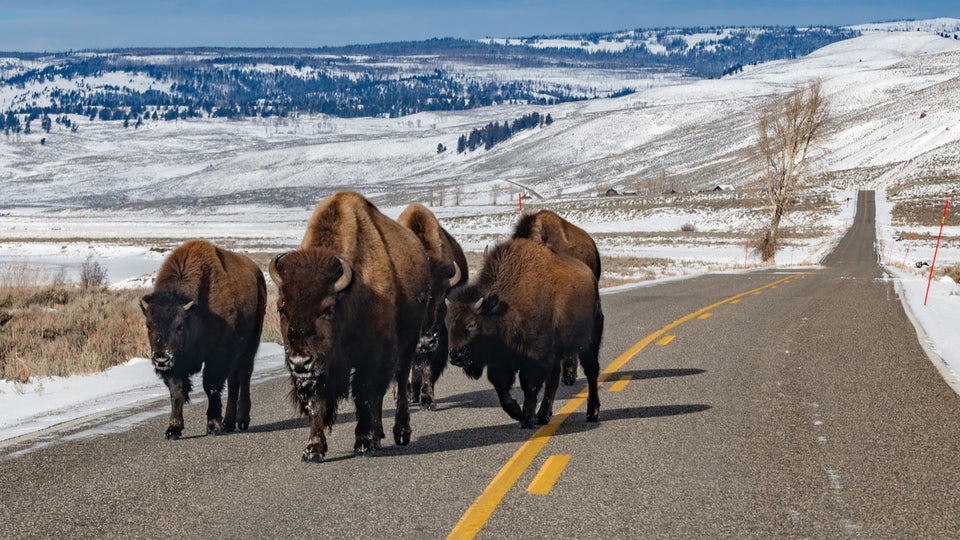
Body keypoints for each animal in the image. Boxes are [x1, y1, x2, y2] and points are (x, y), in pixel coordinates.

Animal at [140, 239, 267, 440]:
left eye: (179, 326)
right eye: (149, 326)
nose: (161, 358)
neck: (196, 312)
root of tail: (257, 272)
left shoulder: (217, 355)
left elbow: (212, 387)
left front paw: (213, 426)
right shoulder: (178, 365)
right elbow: (177, 392)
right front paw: (173, 429)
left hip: (250, 345)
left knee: (244, 376)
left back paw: (241, 420)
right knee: (233, 381)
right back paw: (228, 423)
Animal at [270, 191, 431, 462]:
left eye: (328, 309)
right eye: (282, 309)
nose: (301, 363)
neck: (351, 292)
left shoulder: (372, 354)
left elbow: (365, 394)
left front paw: (363, 443)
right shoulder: (320, 370)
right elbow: (317, 403)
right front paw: (312, 449)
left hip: (408, 342)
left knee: (399, 382)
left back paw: (400, 432)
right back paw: (379, 435)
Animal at [445, 238, 603, 428]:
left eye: (471, 324)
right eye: (447, 323)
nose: (455, 356)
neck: (504, 306)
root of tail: (590, 278)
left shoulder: (535, 357)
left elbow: (529, 385)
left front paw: (527, 418)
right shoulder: (500, 362)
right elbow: (501, 388)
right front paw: (518, 413)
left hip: (589, 342)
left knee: (591, 372)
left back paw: (592, 413)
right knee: (554, 378)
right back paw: (543, 415)